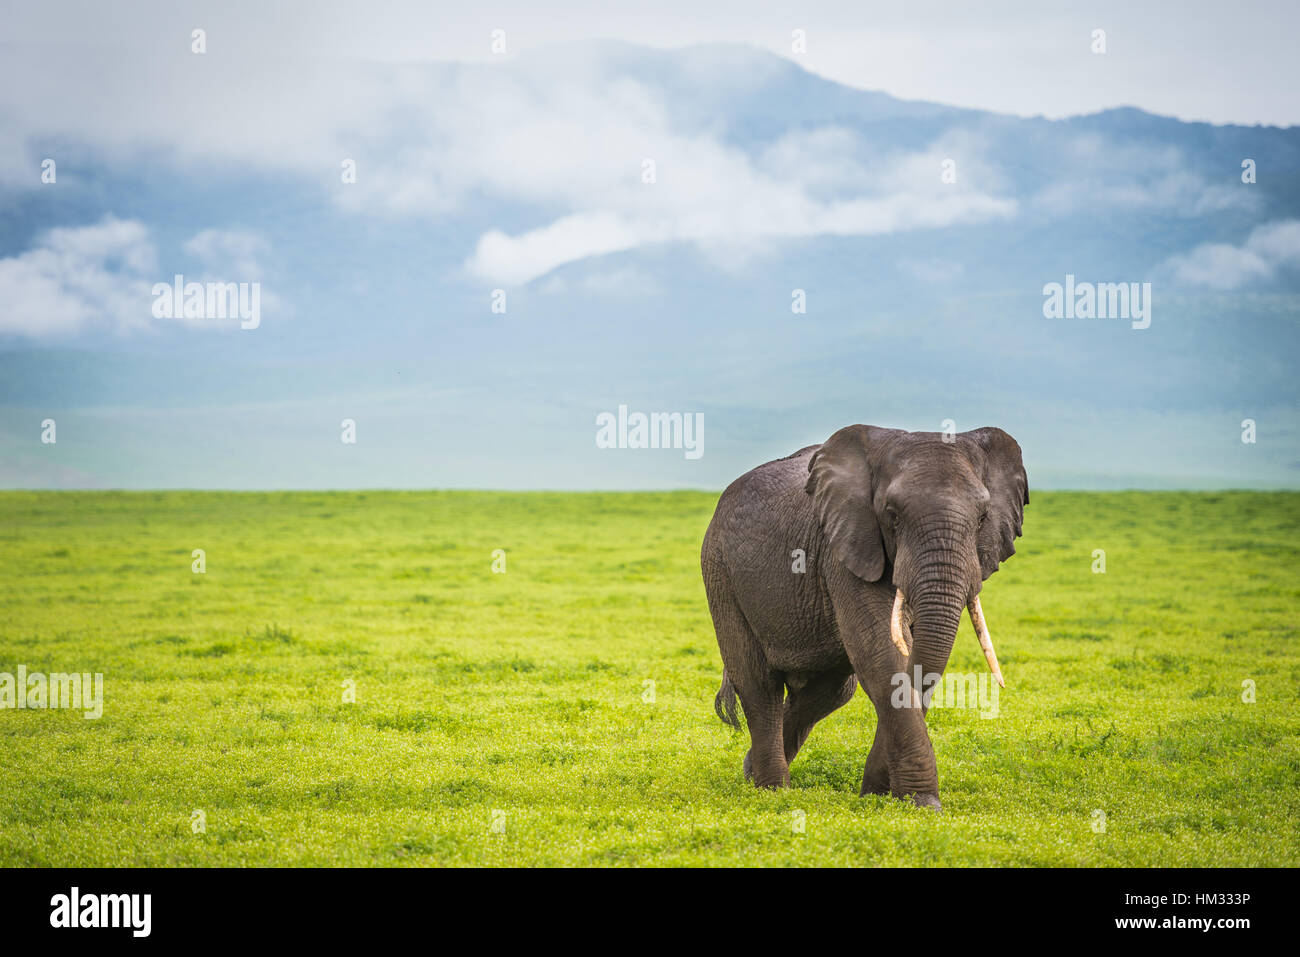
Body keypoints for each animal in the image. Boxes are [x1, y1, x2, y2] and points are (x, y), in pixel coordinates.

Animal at [701, 424, 1027, 810]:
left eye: (982, 518)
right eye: (892, 515)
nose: (878, 790)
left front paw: (877, 794)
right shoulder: (844, 545)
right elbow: (881, 652)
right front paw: (921, 803)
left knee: (829, 692)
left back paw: (751, 772)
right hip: (720, 571)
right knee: (758, 683)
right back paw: (772, 791)